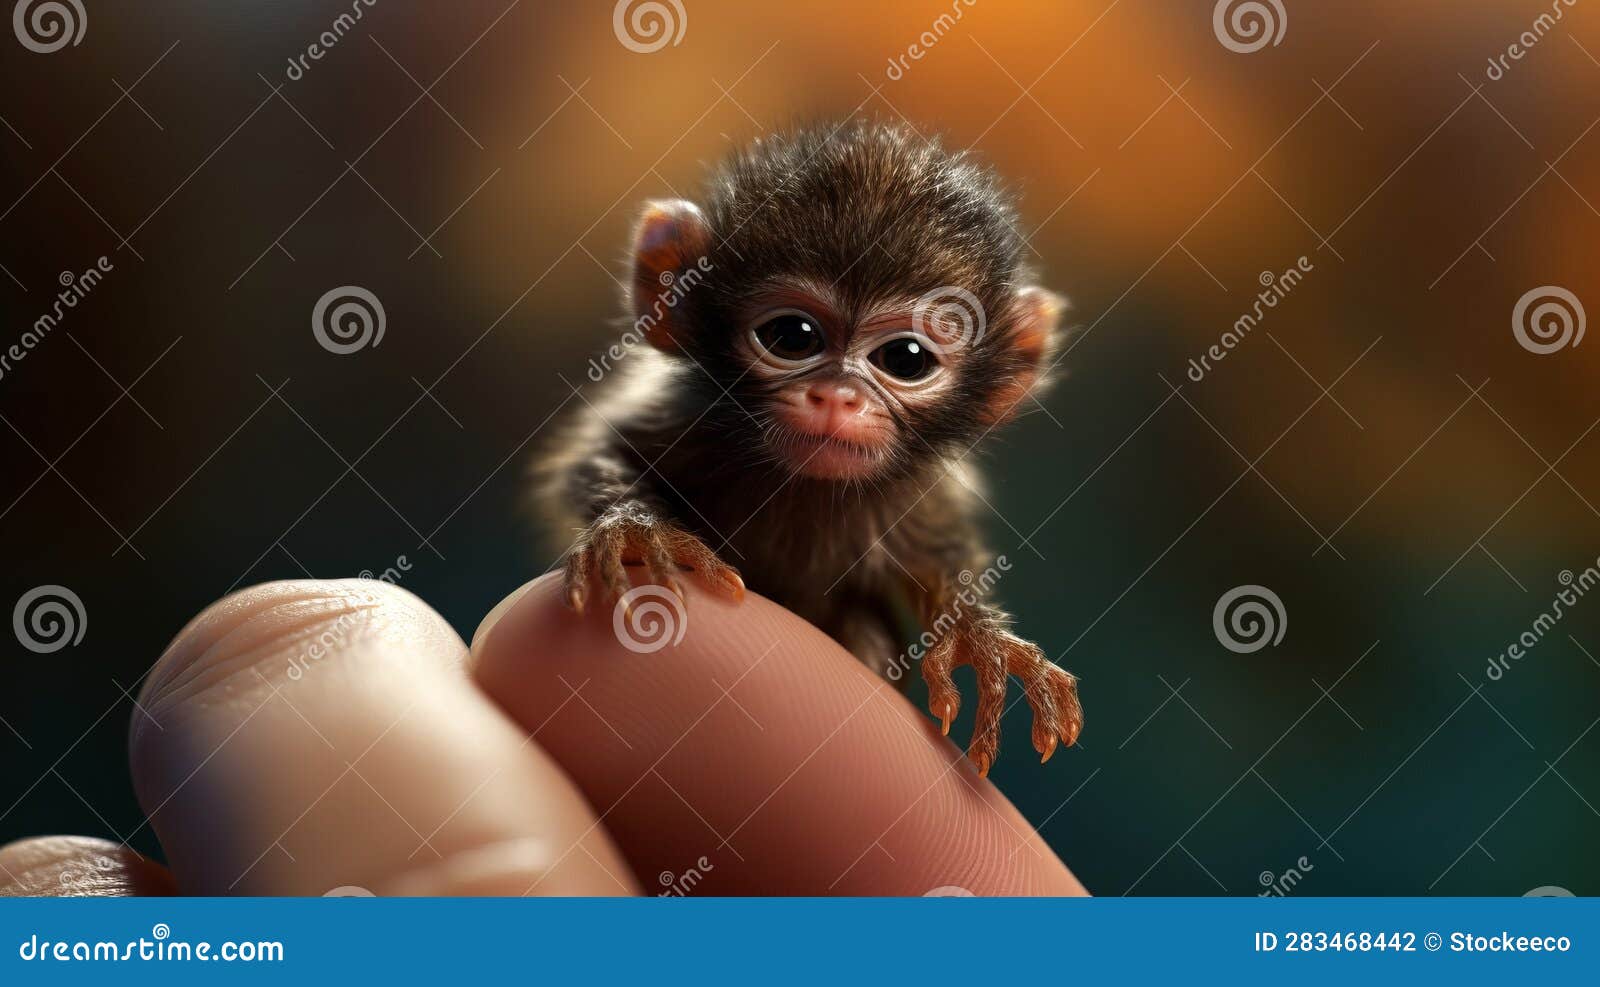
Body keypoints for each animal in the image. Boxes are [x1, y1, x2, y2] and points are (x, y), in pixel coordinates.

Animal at [534, 121, 1082, 776]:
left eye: (906, 359)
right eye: (792, 337)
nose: (837, 397)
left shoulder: (921, 494)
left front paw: (978, 632)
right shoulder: (684, 421)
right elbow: (595, 460)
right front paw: (636, 528)